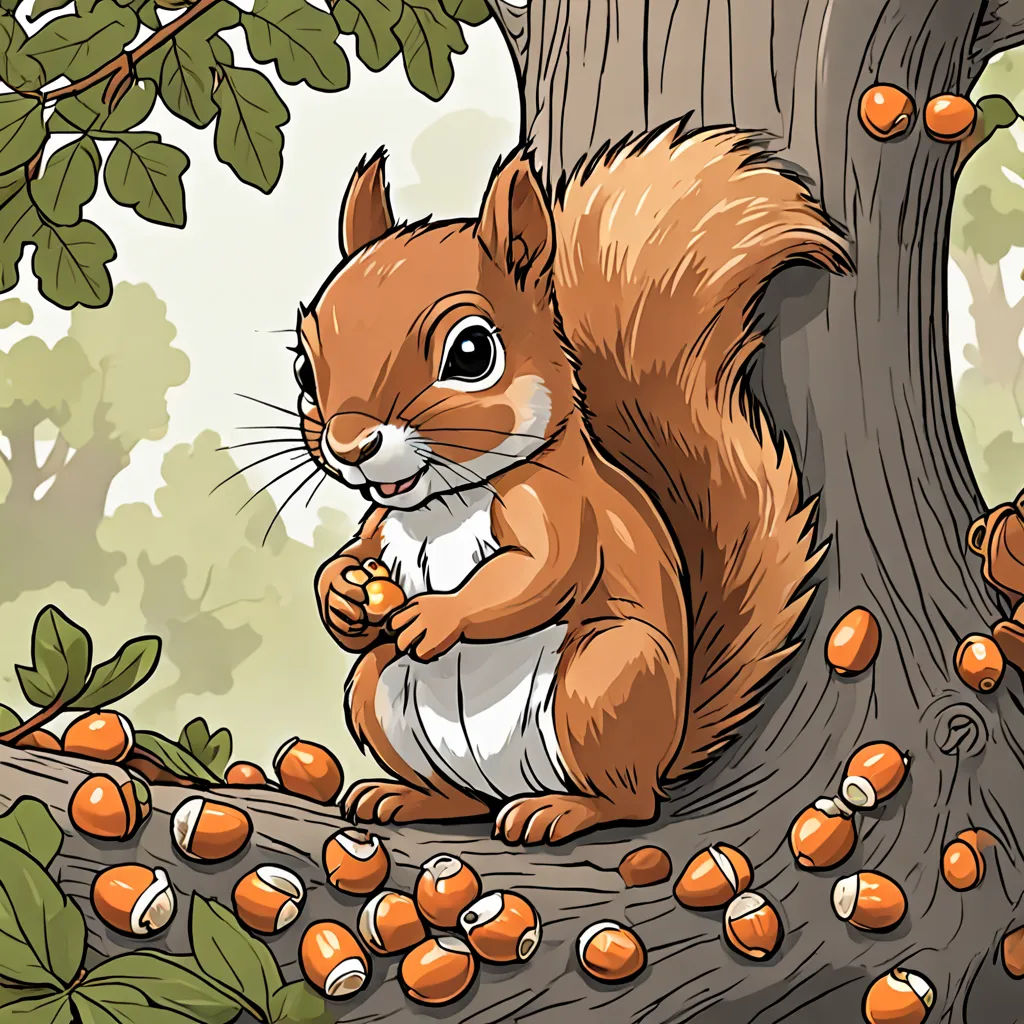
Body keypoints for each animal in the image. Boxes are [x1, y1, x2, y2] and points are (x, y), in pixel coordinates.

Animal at [299, 120, 851, 845]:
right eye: (305, 368)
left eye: (471, 353)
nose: (349, 446)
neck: (443, 505)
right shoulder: (382, 525)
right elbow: (356, 567)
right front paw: (343, 593)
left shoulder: (559, 507)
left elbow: (540, 572)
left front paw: (438, 614)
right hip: (379, 693)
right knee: (453, 786)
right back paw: (410, 797)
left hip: (604, 681)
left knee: (629, 801)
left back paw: (563, 810)